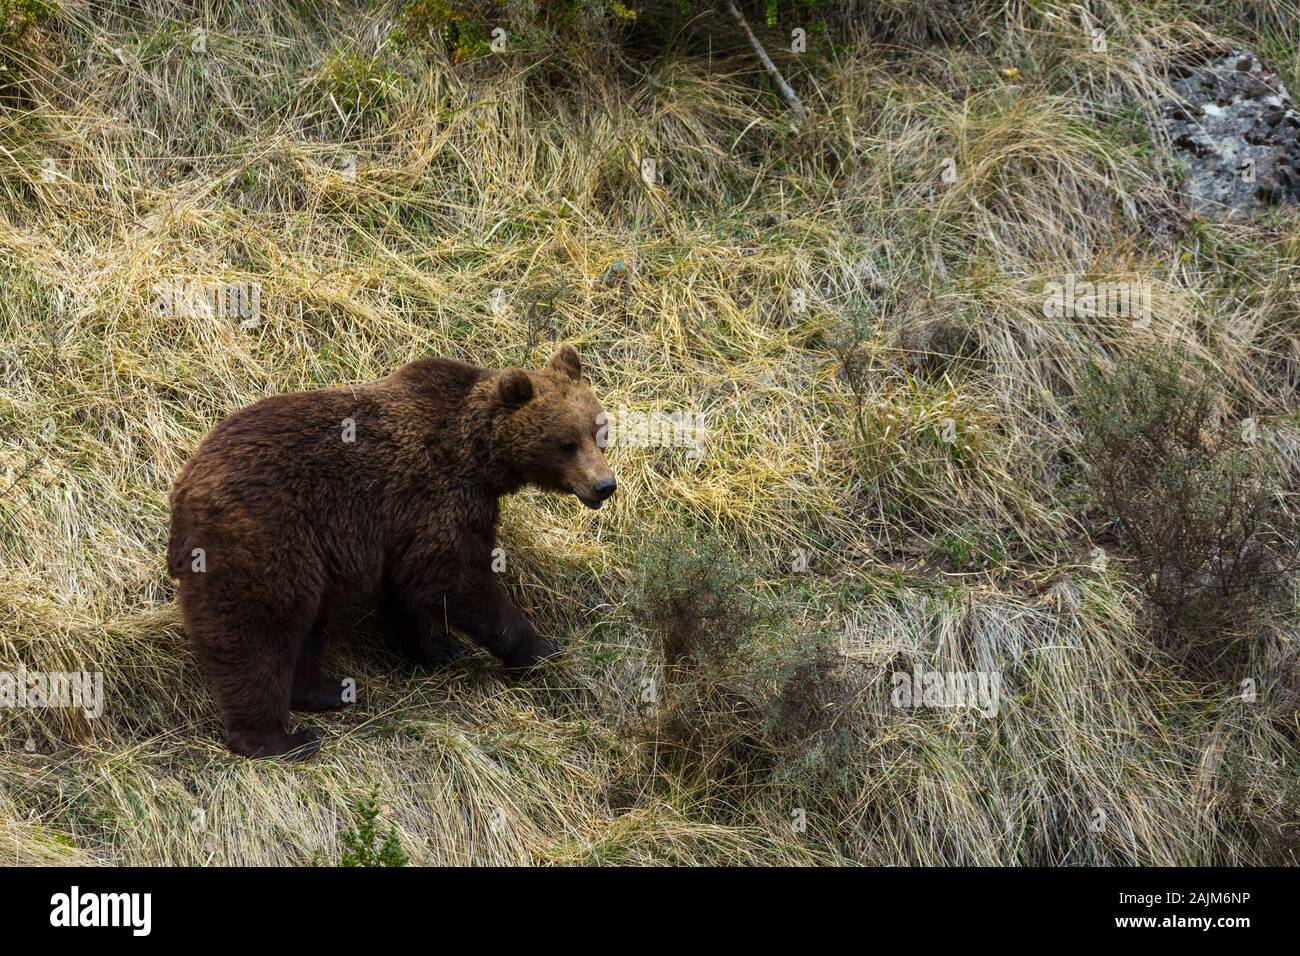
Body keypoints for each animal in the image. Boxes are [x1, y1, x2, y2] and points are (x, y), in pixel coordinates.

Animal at [166, 345, 615, 759]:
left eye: (600, 434)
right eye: (565, 444)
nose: (605, 486)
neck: (481, 457)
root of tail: (184, 488)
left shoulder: (403, 522)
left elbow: (408, 585)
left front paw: (436, 647)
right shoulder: (440, 493)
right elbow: (454, 579)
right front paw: (540, 650)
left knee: (305, 623)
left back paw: (325, 691)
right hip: (267, 534)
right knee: (261, 630)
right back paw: (279, 739)